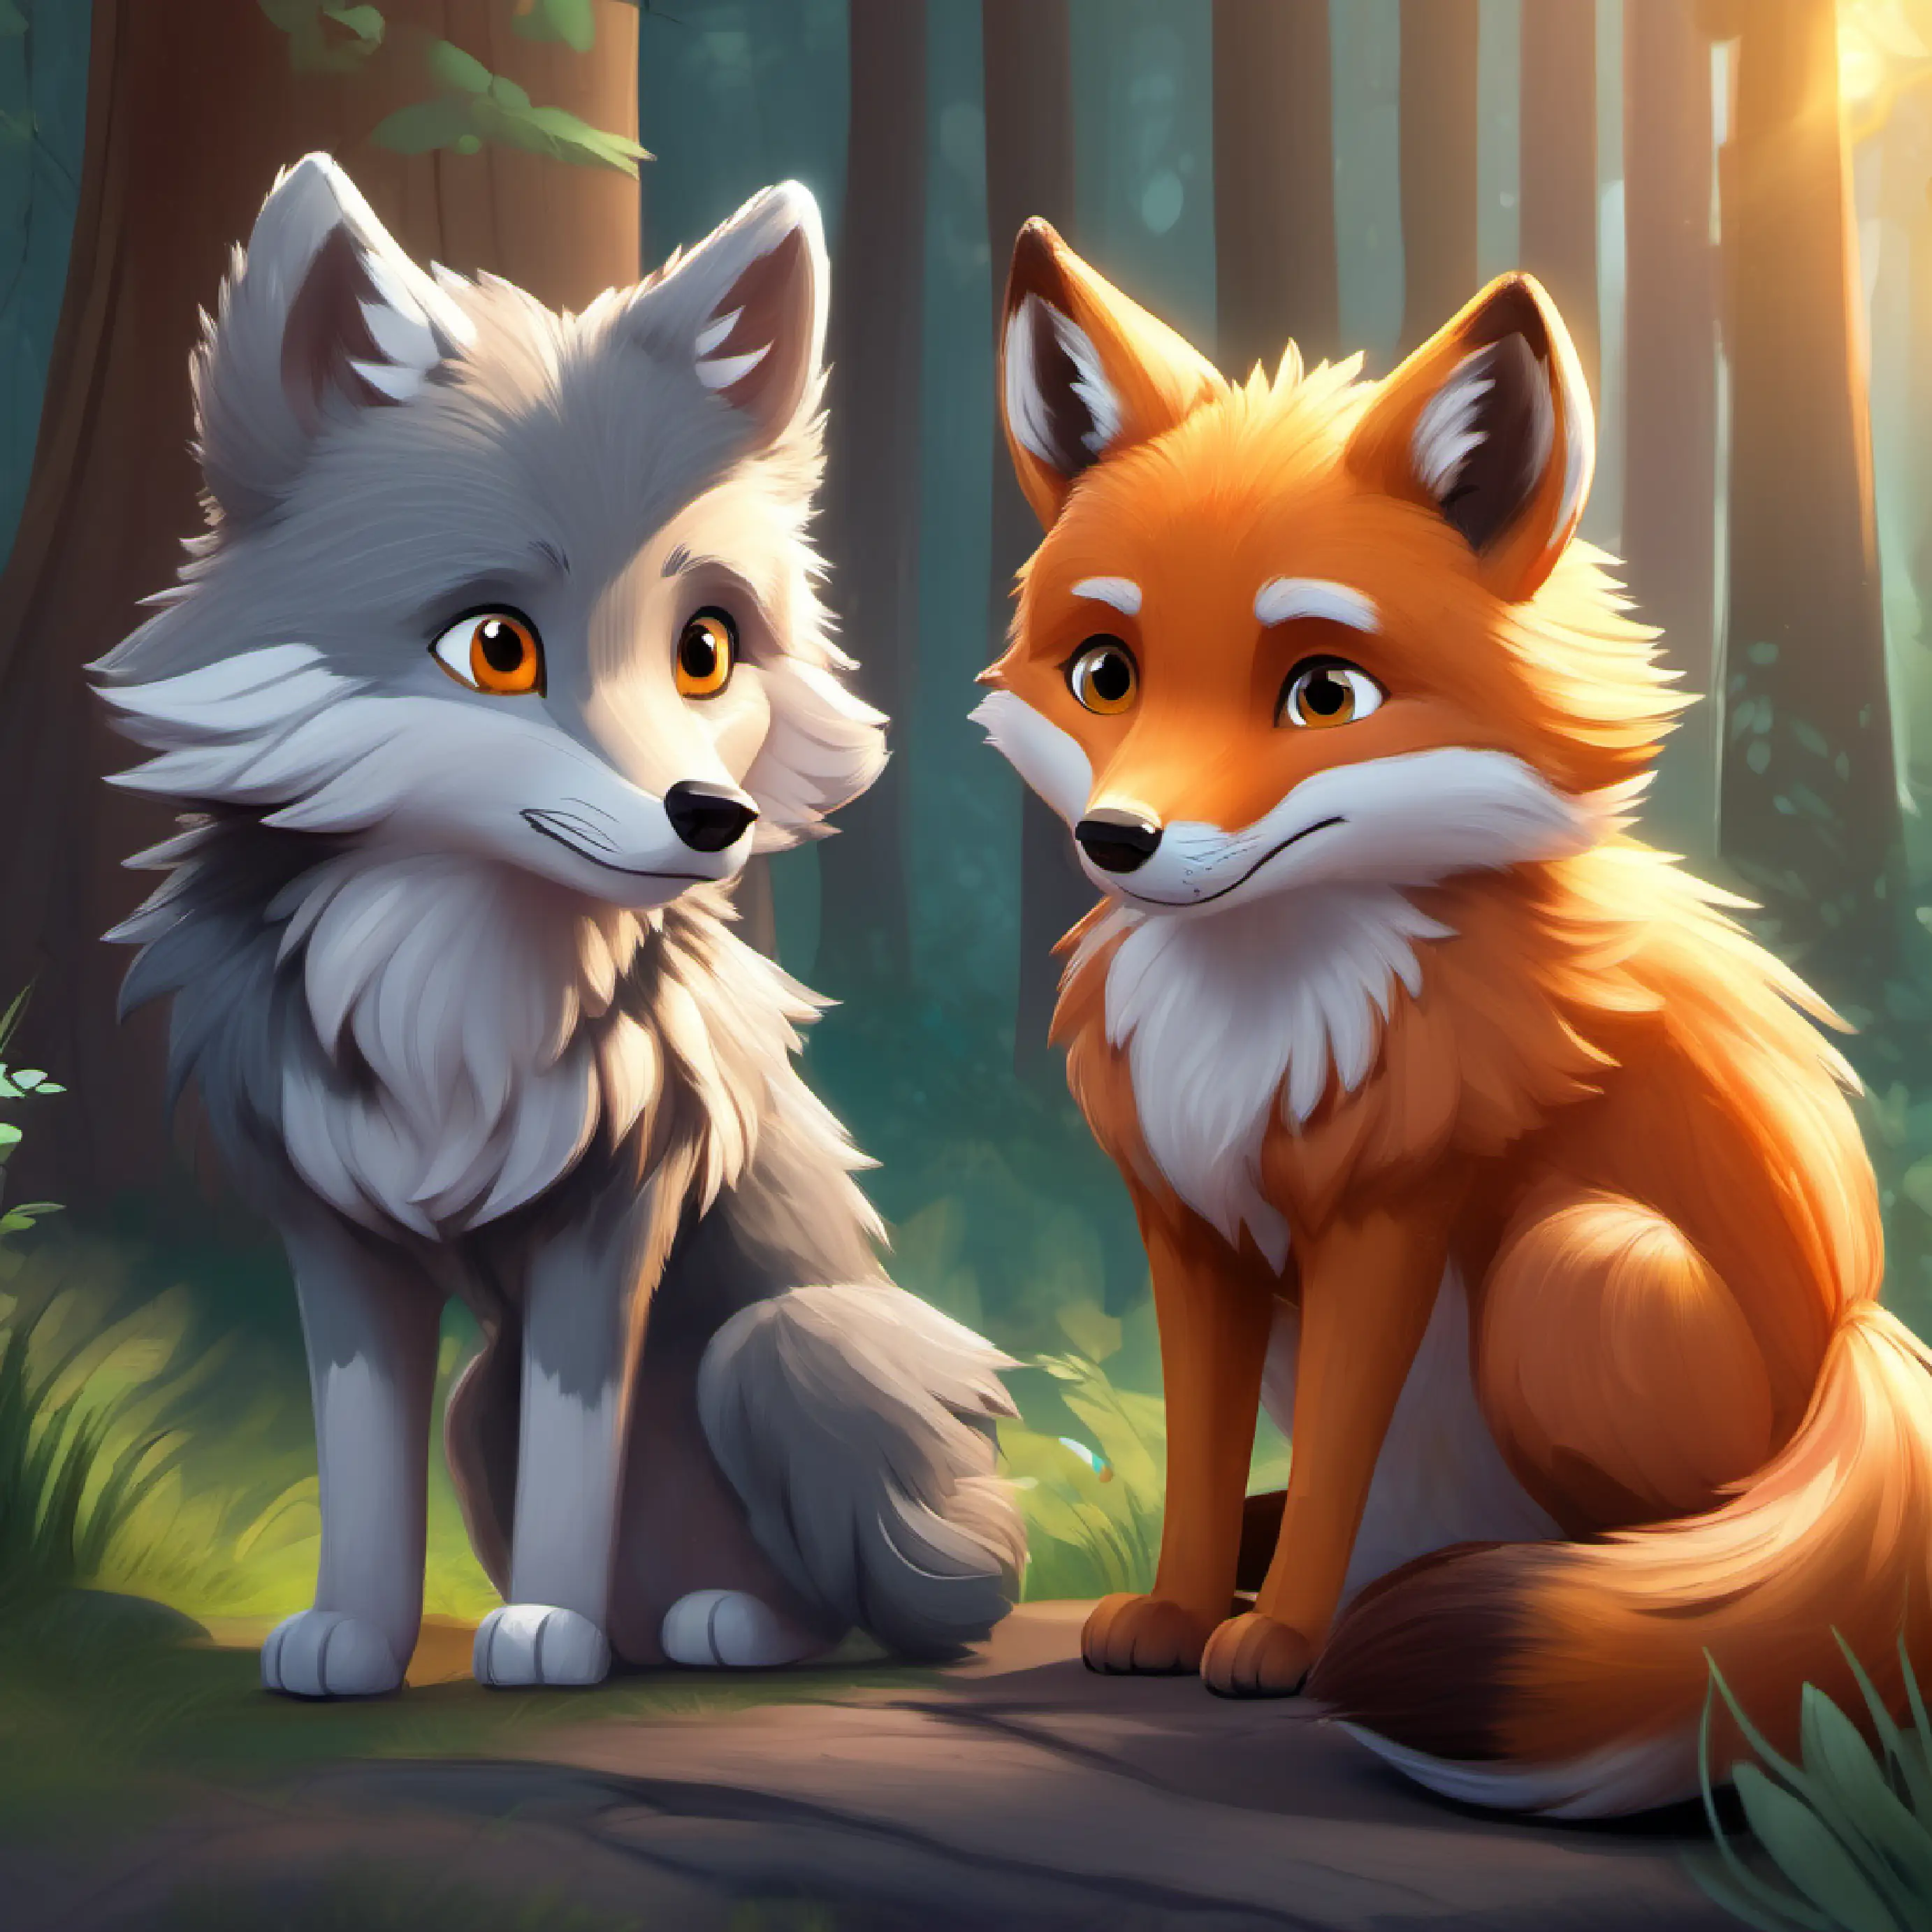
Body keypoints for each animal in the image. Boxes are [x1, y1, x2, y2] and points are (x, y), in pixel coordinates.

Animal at [90, 156, 1023, 1696]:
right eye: (495, 646)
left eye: (705, 648)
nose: (713, 815)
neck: (455, 975)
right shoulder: (332, 1229)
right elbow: (360, 1467)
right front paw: (352, 1636)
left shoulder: (615, 1214)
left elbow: (578, 1464)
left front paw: (545, 1630)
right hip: (482, 1404)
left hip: (780, 1346)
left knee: (829, 1595)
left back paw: (716, 1628)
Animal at [974, 216, 1932, 1815]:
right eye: (1107, 673)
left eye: (1324, 693)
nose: (1117, 839)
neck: (1255, 1011)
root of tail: (1863, 1333)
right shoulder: (1194, 1225)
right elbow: (1196, 1465)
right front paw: (1179, 1610)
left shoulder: (1391, 1207)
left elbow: (1338, 1457)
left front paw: (1286, 1639)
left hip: (1577, 1266)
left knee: (1662, 1541)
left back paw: (1533, 1589)